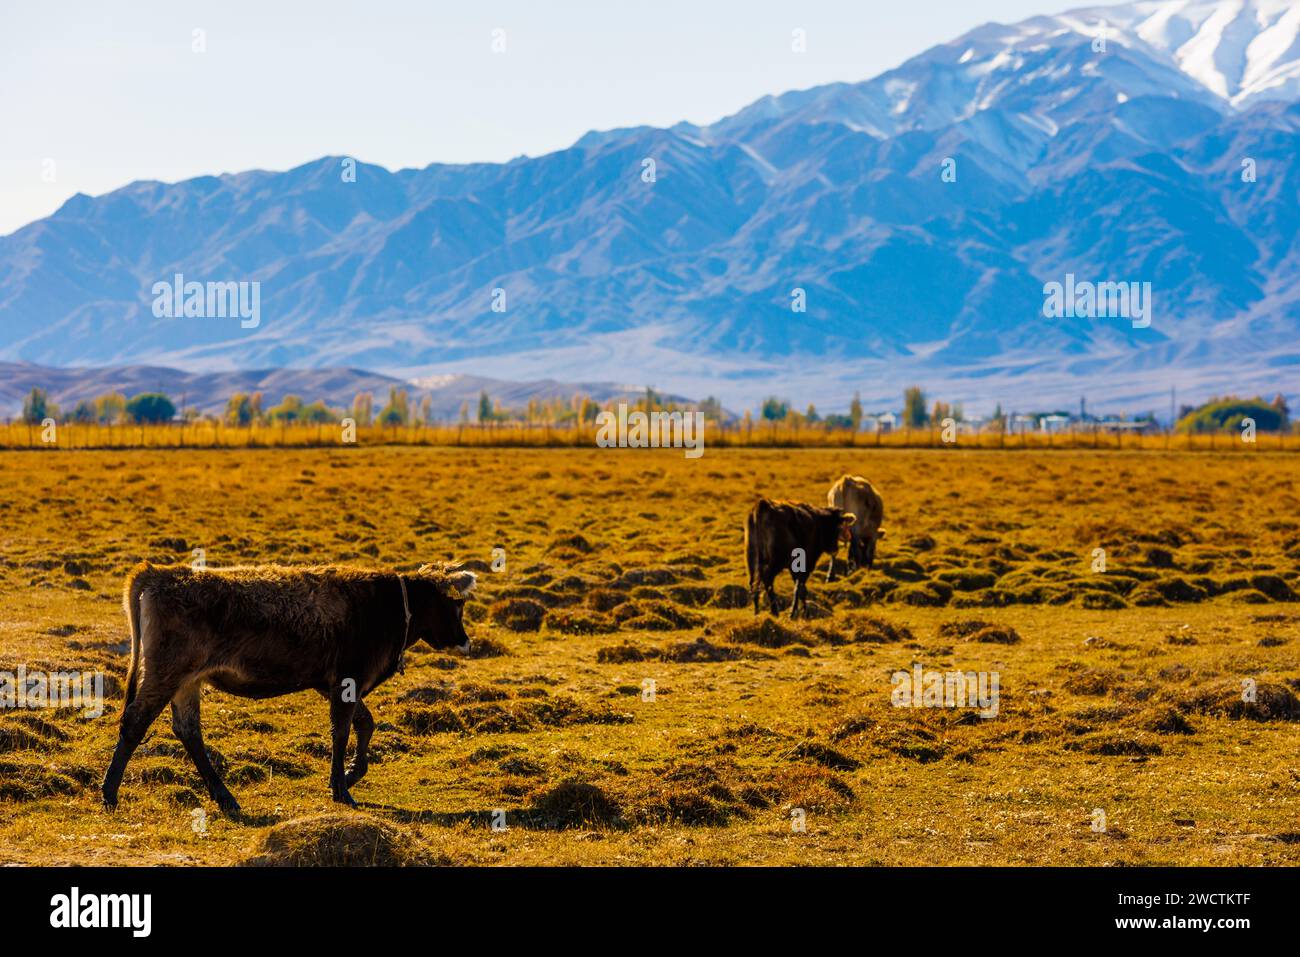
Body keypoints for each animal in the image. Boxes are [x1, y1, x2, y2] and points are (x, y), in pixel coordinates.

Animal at [101, 561, 476, 814]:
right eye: (457, 604)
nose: (465, 641)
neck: (388, 606)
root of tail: (159, 572)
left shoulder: (332, 683)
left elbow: (365, 723)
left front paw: (352, 774)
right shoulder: (347, 680)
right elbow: (341, 731)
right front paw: (341, 788)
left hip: (187, 681)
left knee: (188, 730)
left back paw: (225, 797)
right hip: (166, 672)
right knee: (136, 722)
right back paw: (109, 793)